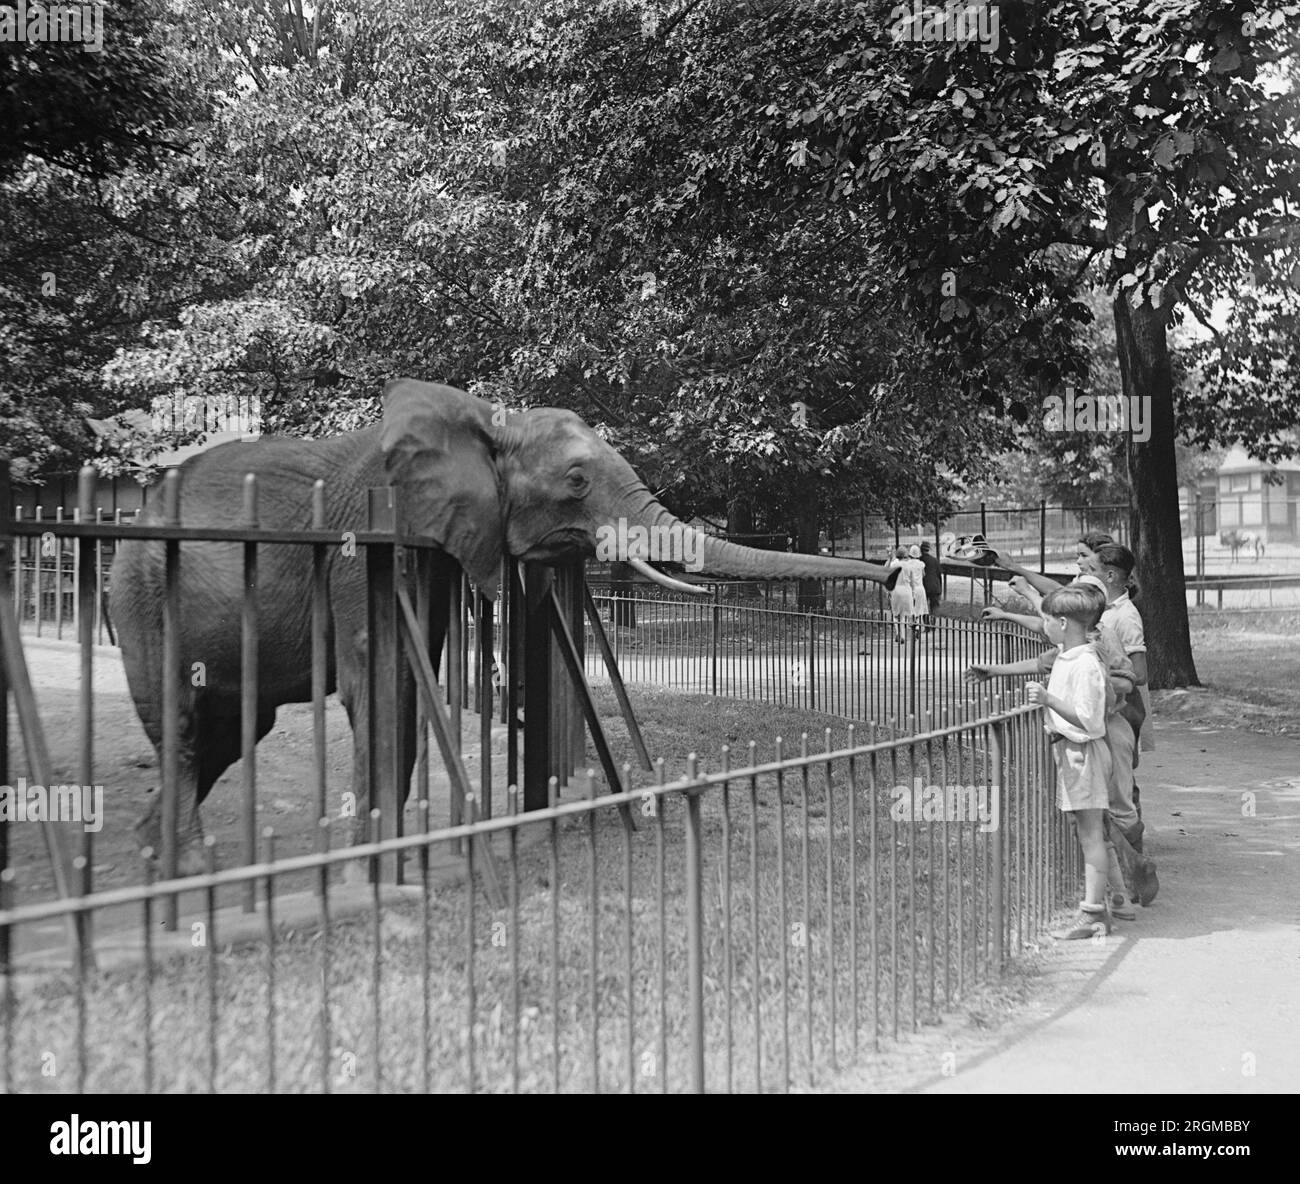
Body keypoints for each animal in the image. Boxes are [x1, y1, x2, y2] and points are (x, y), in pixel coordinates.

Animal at [110, 379, 894, 873]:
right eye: (576, 481)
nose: (893, 573)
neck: (486, 422)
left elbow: (407, 683)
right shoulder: (368, 543)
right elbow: (380, 680)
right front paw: (376, 863)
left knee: (227, 733)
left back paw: (157, 855)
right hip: (144, 596)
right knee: (184, 726)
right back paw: (183, 865)